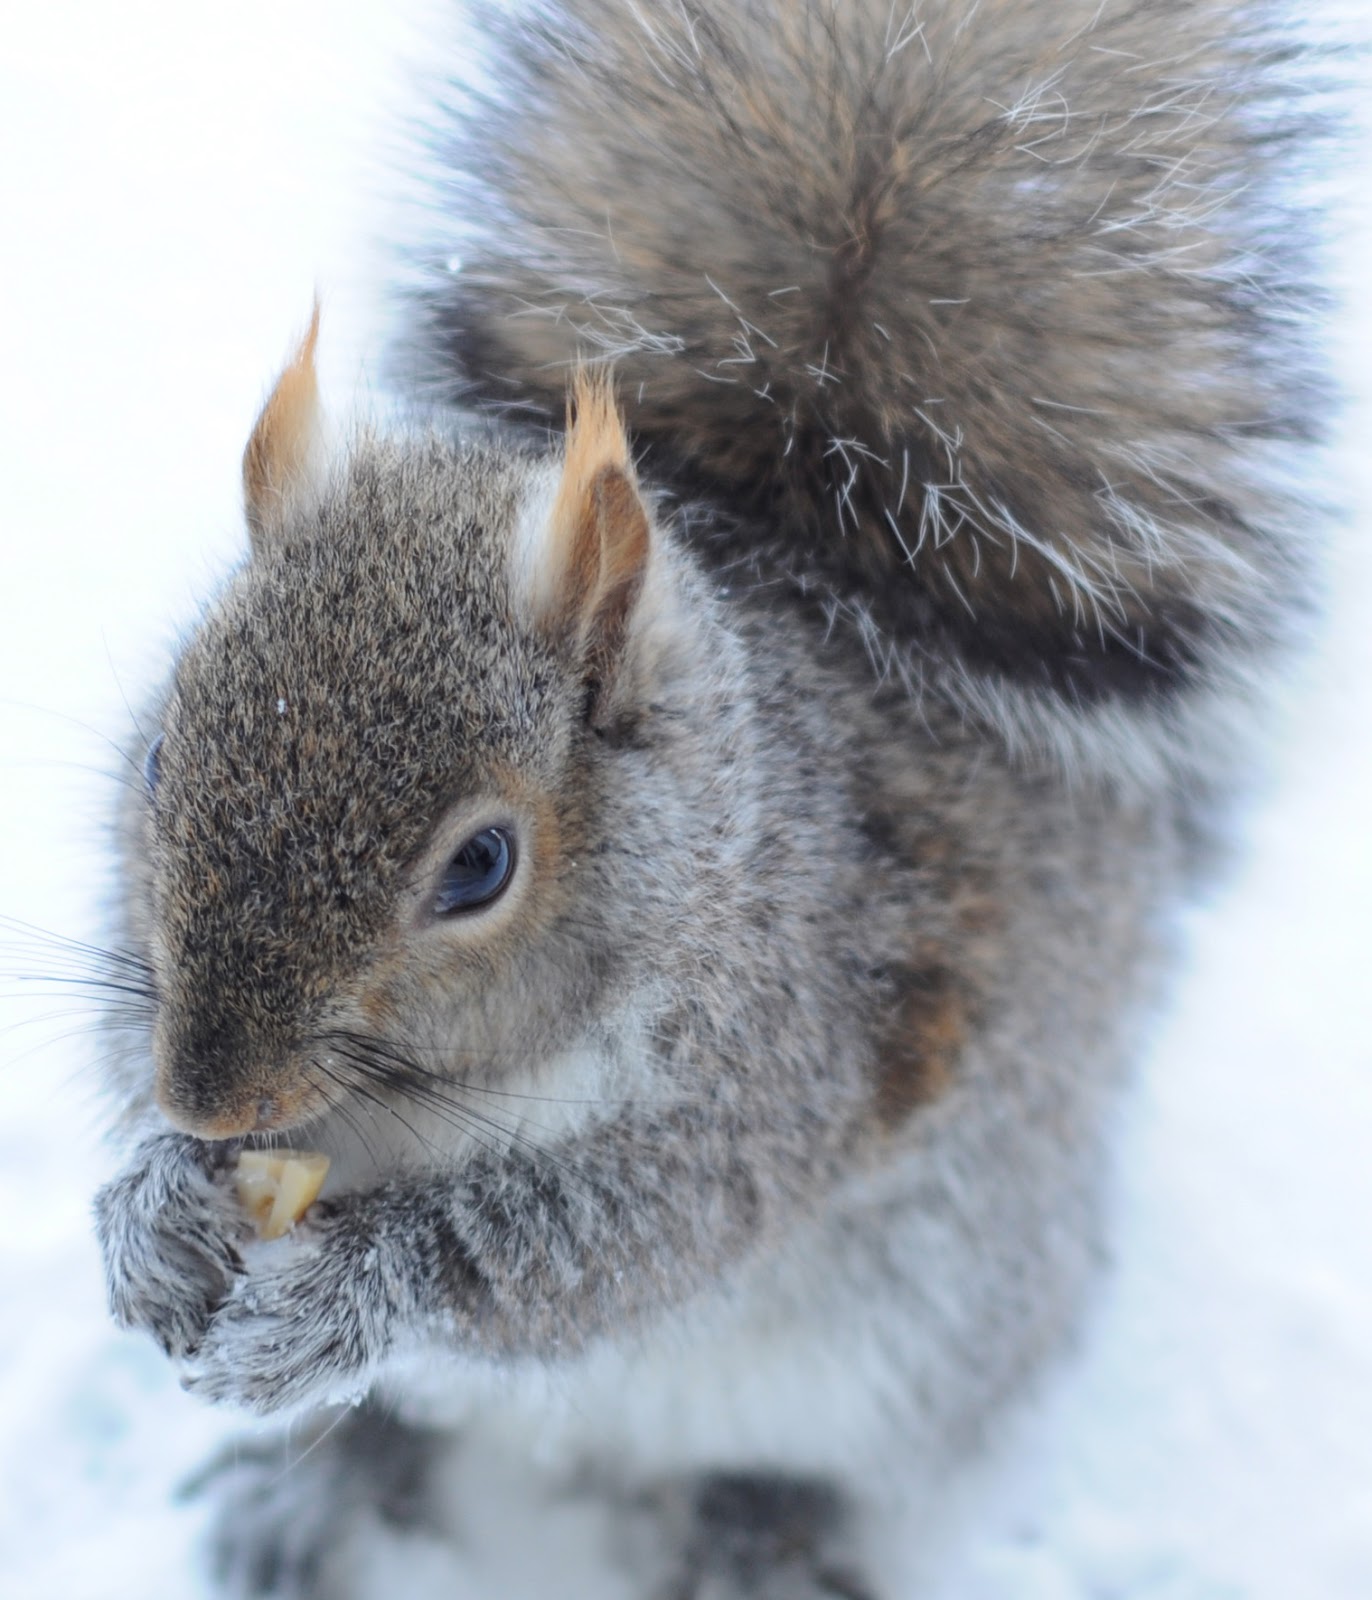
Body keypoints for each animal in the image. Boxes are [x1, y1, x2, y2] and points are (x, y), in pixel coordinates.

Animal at [91, 1, 1325, 1596]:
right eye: (159, 756)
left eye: (479, 867)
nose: (207, 1093)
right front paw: (149, 1205)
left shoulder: (787, 1050)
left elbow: (625, 1233)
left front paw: (358, 1284)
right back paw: (313, 1491)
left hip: (930, 1344)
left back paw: (757, 1535)